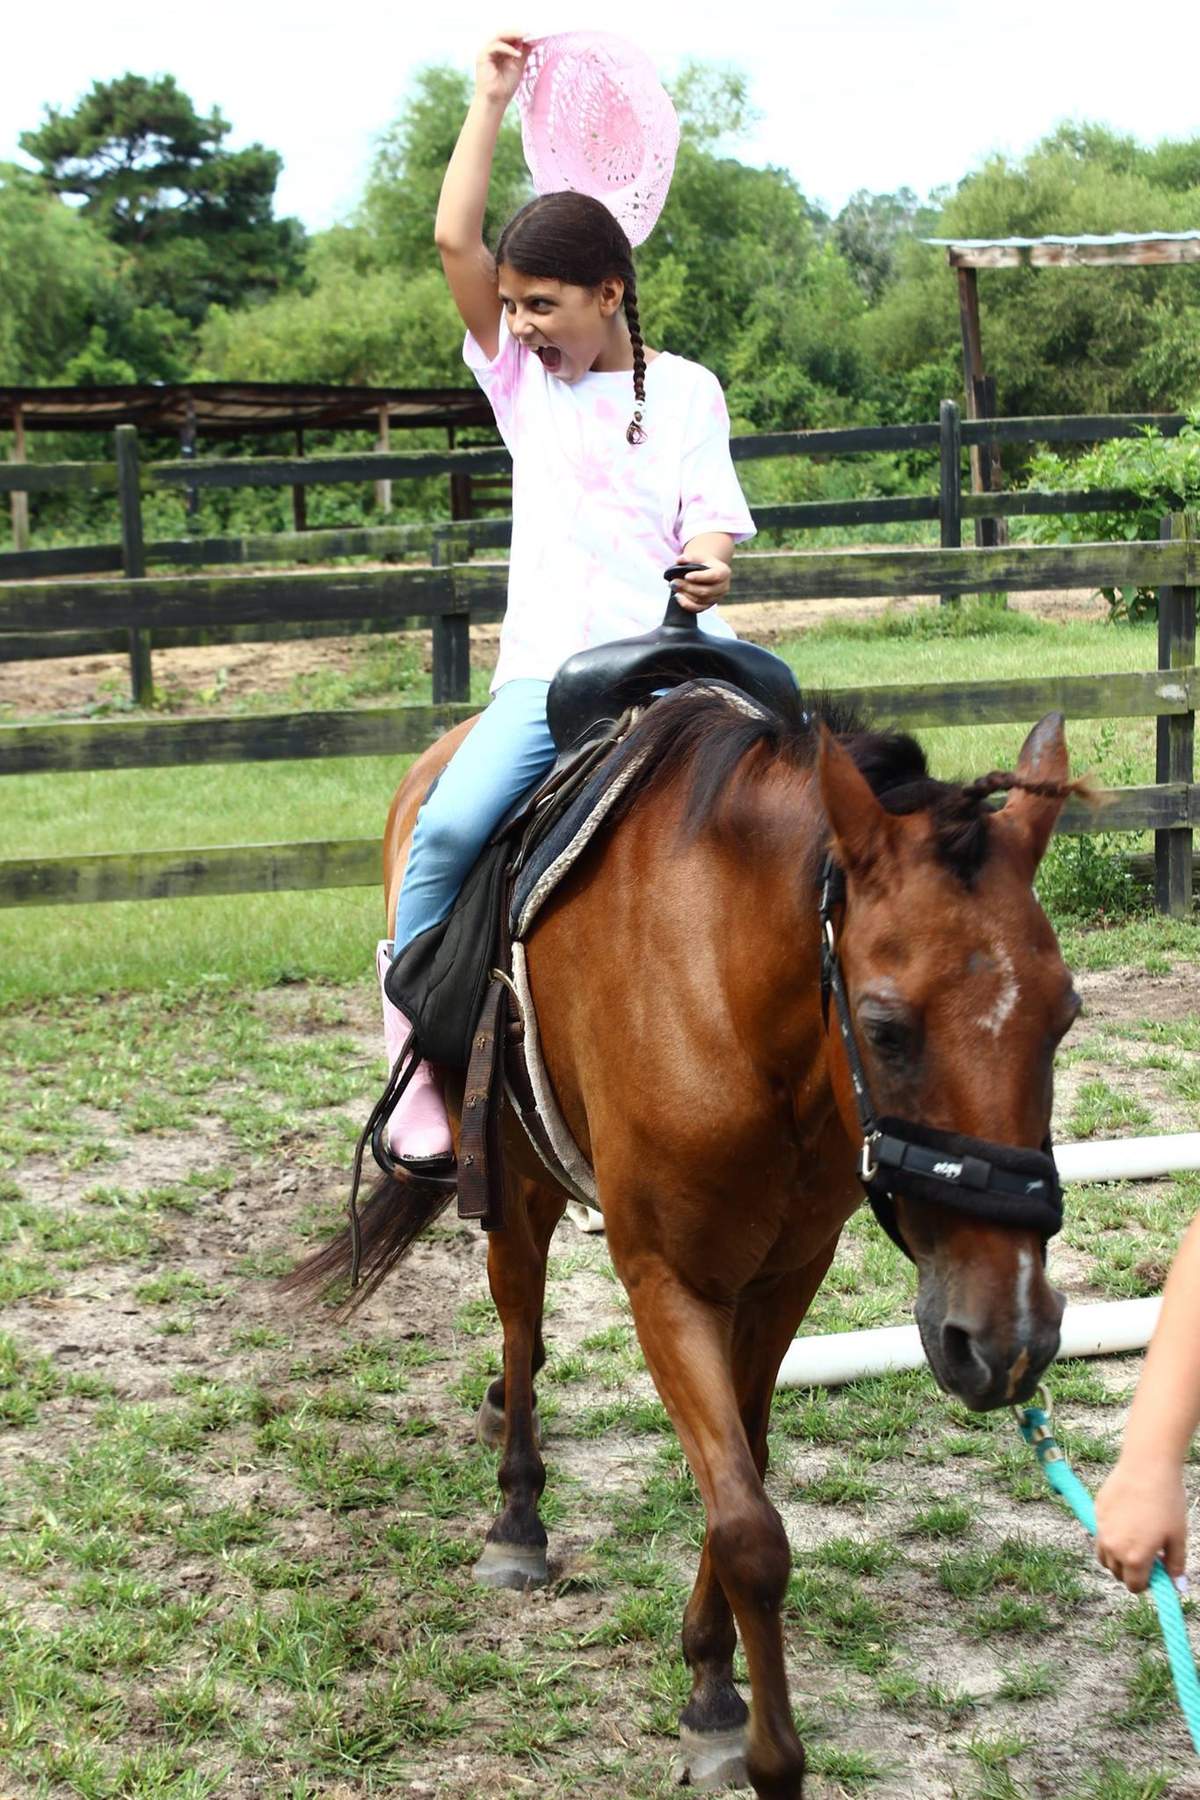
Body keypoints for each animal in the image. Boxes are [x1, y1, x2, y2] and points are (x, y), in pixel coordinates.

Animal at [284, 685, 1083, 1800]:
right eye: (885, 1028)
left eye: (1065, 1015)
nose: (1004, 1336)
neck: (733, 998)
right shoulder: (666, 1281)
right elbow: (749, 1529)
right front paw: (757, 1746)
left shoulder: (788, 1274)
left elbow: (744, 1470)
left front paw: (711, 1678)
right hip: (514, 1171)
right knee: (518, 1311)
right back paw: (517, 1516)